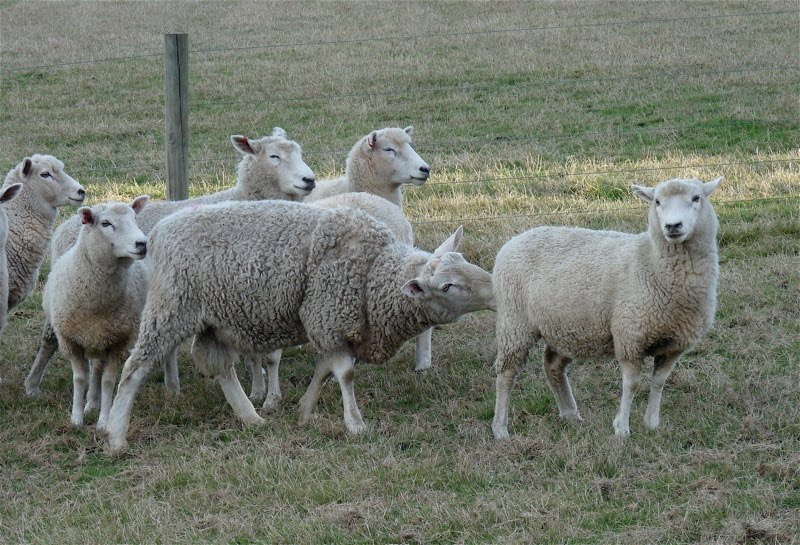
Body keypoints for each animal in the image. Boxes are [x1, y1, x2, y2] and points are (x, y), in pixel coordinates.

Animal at [24, 127, 315, 397]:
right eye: (274, 156)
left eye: (300, 152)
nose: (310, 179)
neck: (243, 197)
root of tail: (65, 228)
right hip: (70, 295)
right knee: (49, 340)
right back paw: (32, 384)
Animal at [43, 196, 149, 430]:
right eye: (105, 223)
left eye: (135, 218)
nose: (142, 244)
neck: (97, 305)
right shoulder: (70, 340)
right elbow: (79, 378)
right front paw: (76, 419)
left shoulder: (119, 341)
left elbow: (108, 381)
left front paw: (103, 421)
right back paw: (89, 403)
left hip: (102, 338)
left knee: (98, 370)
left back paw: (93, 401)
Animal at [105, 200, 495, 452]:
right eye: (447, 286)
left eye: (465, 262)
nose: (495, 290)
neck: (372, 275)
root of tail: (158, 232)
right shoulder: (327, 316)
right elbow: (344, 373)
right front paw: (355, 424)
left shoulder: (331, 325)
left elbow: (324, 370)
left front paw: (305, 411)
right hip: (171, 308)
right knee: (135, 367)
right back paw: (116, 436)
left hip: (212, 319)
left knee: (223, 369)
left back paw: (251, 418)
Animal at [491, 177, 722, 439]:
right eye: (657, 202)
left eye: (696, 198)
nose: (673, 226)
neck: (651, 262)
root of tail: (516, 239)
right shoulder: (630, 338)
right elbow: (631, 384)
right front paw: (621, 428)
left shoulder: (674, 345)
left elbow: (658, 382)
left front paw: (652, 423)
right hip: (514, 321)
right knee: (507, 372)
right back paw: (500, 428)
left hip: (565, 327)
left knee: (552, 365)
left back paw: (570, 414)